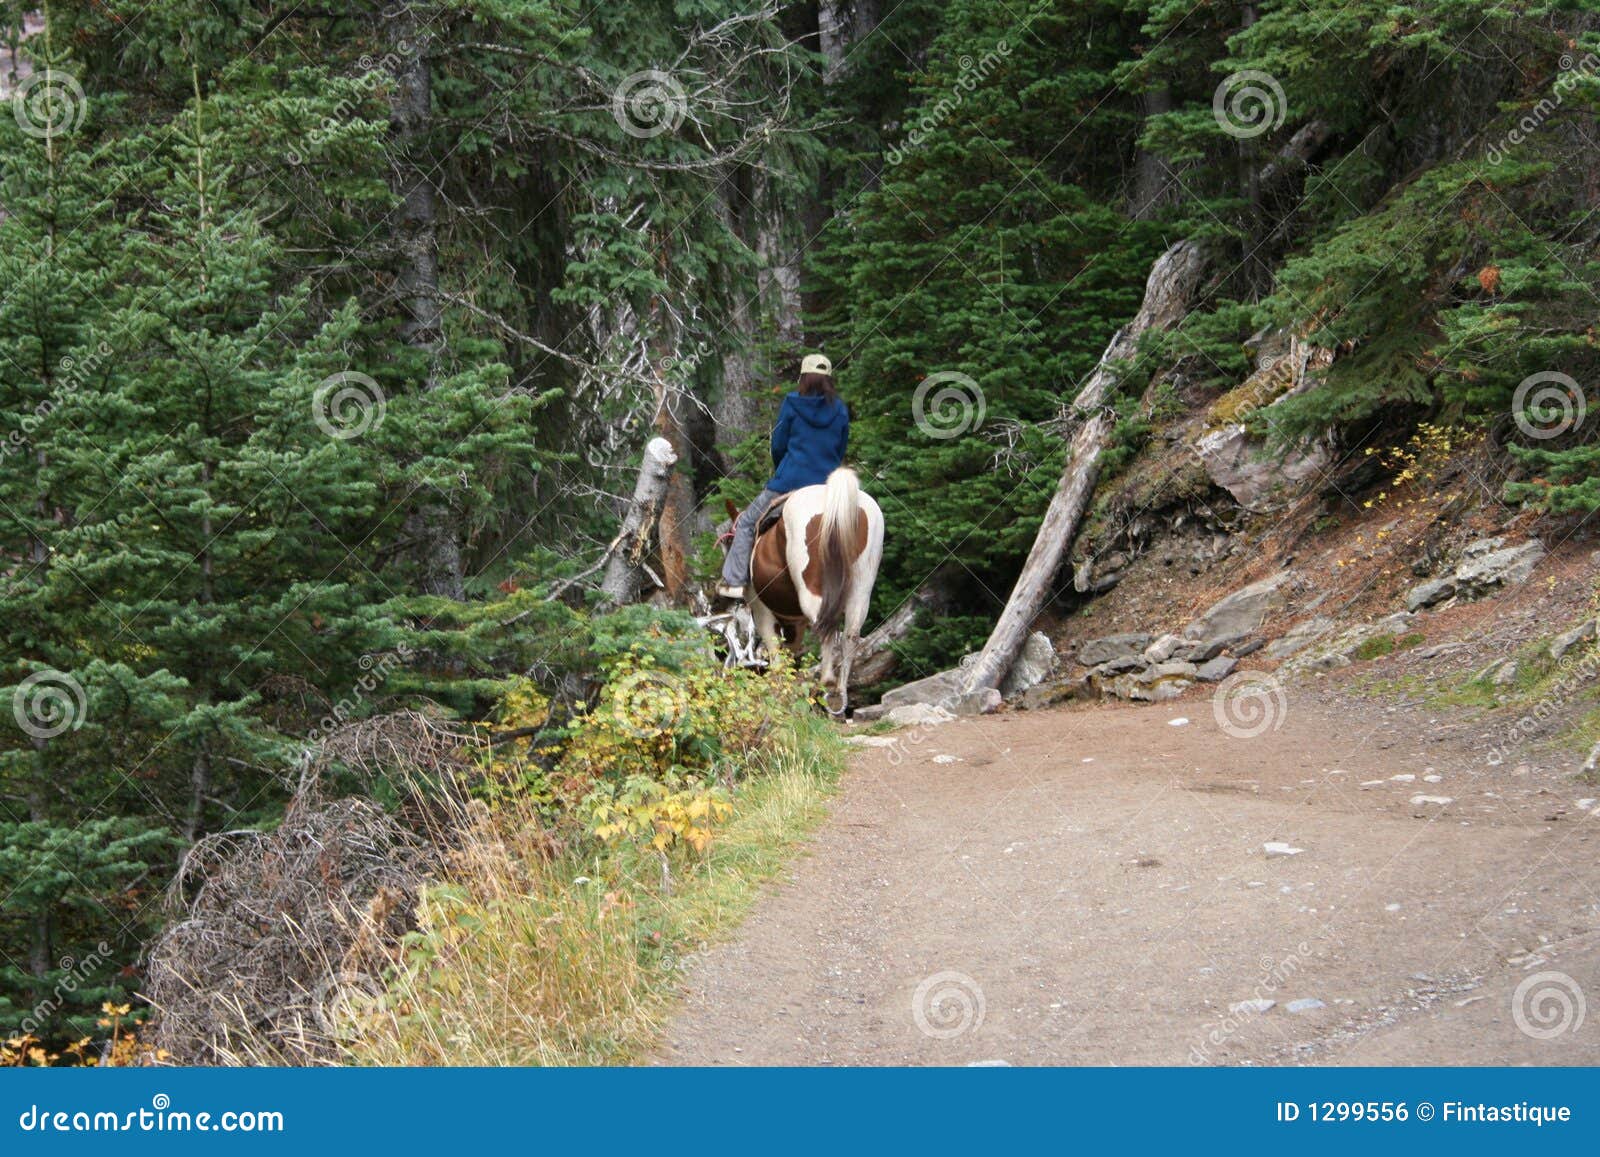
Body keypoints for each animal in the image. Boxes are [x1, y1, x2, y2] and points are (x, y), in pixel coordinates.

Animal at [724, 467, 884, 715]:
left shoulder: (761, 610)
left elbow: (775, 650)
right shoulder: (795, 622)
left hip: (810, 590)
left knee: (827, 626)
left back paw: (827, 681)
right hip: (861, 587)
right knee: (851, 633)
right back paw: (839, 695)